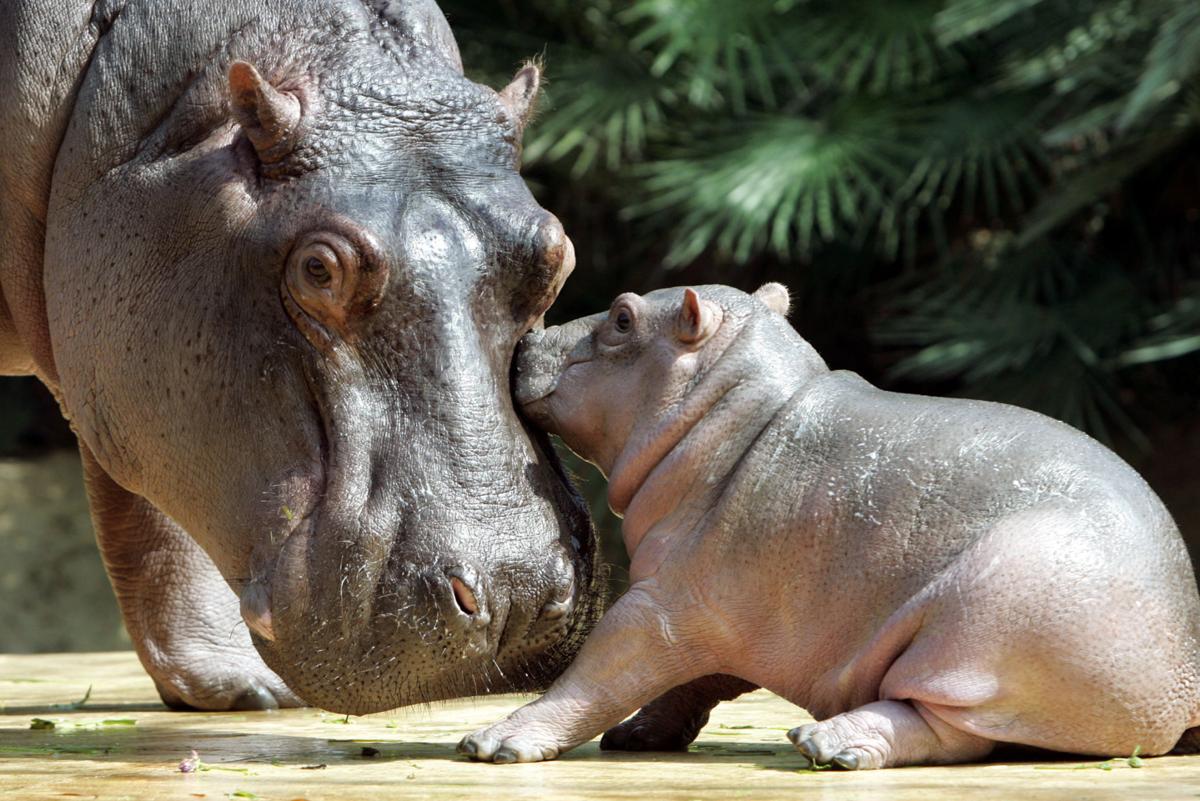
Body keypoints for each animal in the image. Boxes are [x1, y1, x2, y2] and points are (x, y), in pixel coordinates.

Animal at [459, 283, 1200, 767]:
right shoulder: (719, 617)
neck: (731, 411)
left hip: (980, 630)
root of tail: (1187, 675)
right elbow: (693, 682)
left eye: (620, 317)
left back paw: (830, 743)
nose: (525, 337)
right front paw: (640, 737)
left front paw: (496, 740)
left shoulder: (664, 603)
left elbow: (601, 670)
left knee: (951, 731)